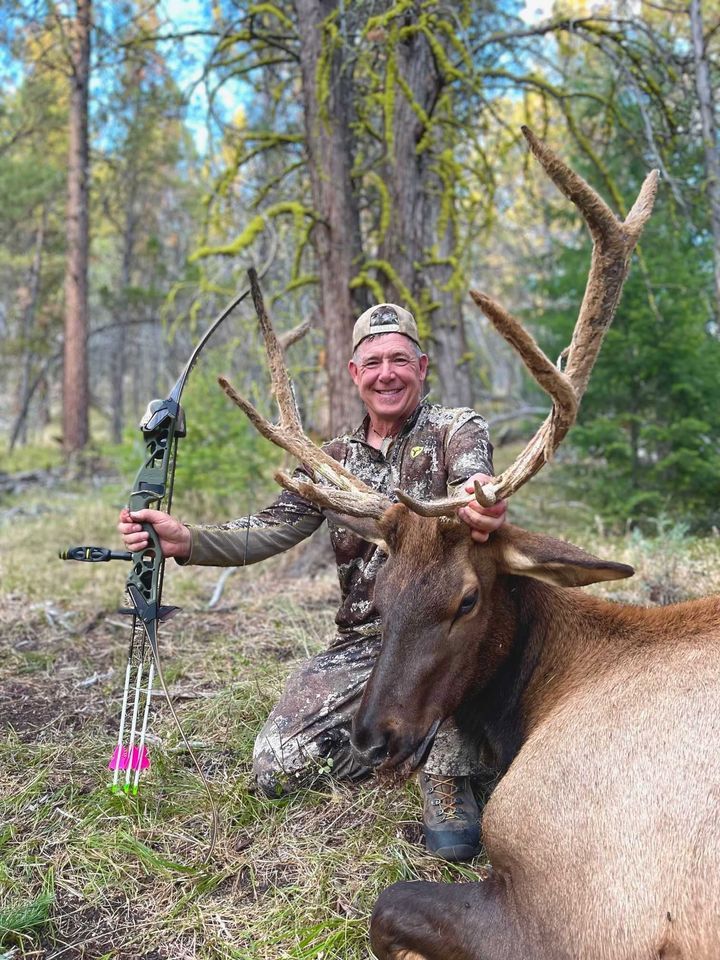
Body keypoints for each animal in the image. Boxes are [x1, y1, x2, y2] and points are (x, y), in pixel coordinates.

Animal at [220, 128, 720, 959]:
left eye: (468, 598)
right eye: (382, 594)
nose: (371, 738)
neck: (547, 691)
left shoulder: (583, 907)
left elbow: (388, 905)